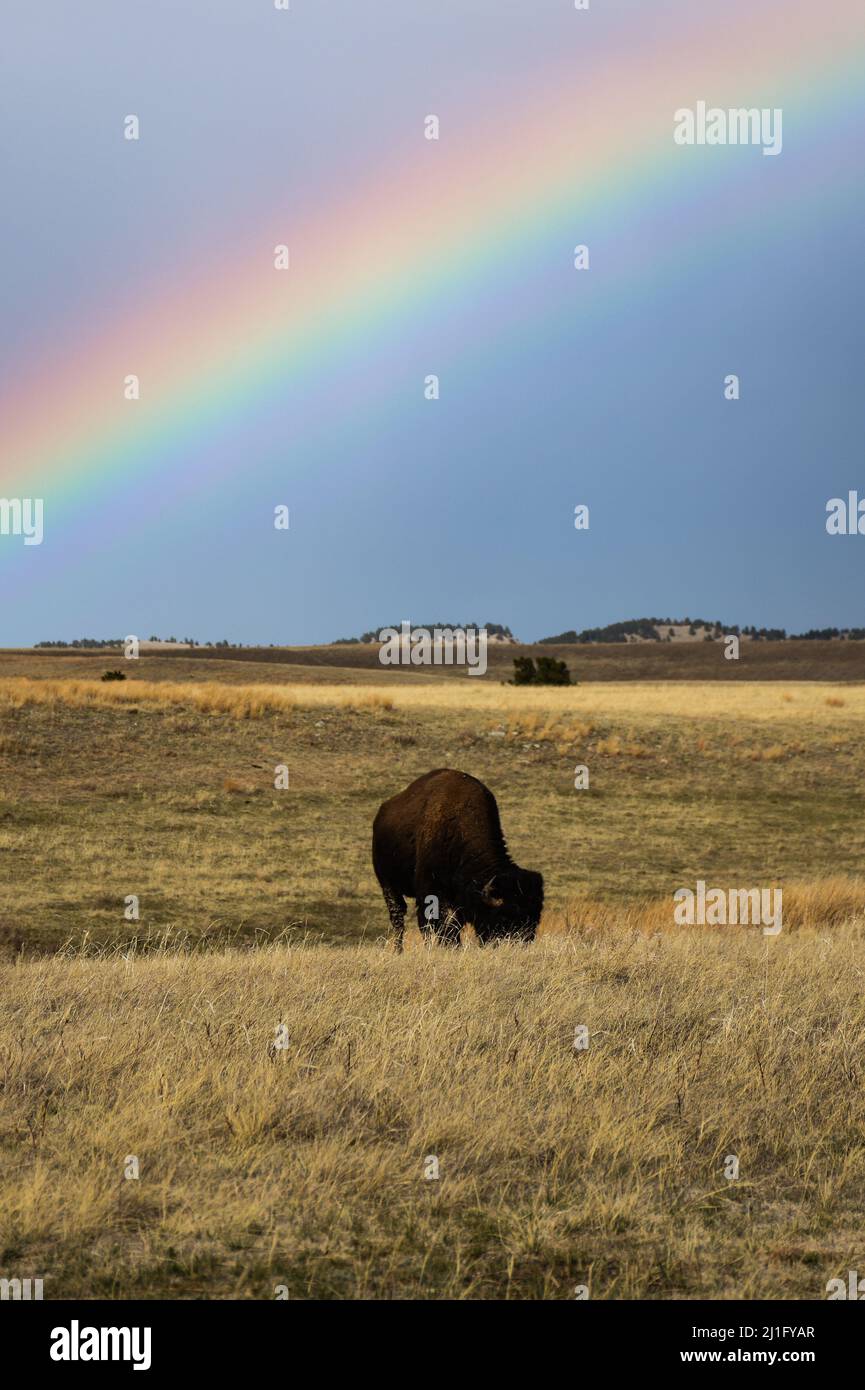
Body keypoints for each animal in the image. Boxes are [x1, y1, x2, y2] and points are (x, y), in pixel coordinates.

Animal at [372, 768, 543, 951]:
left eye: (535, 915)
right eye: (504, 916)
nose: (524, 942)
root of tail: (380, 815)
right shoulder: (431, 890)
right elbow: (437, 923)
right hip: (388, 885)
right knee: (398, 918)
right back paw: (398, 950)